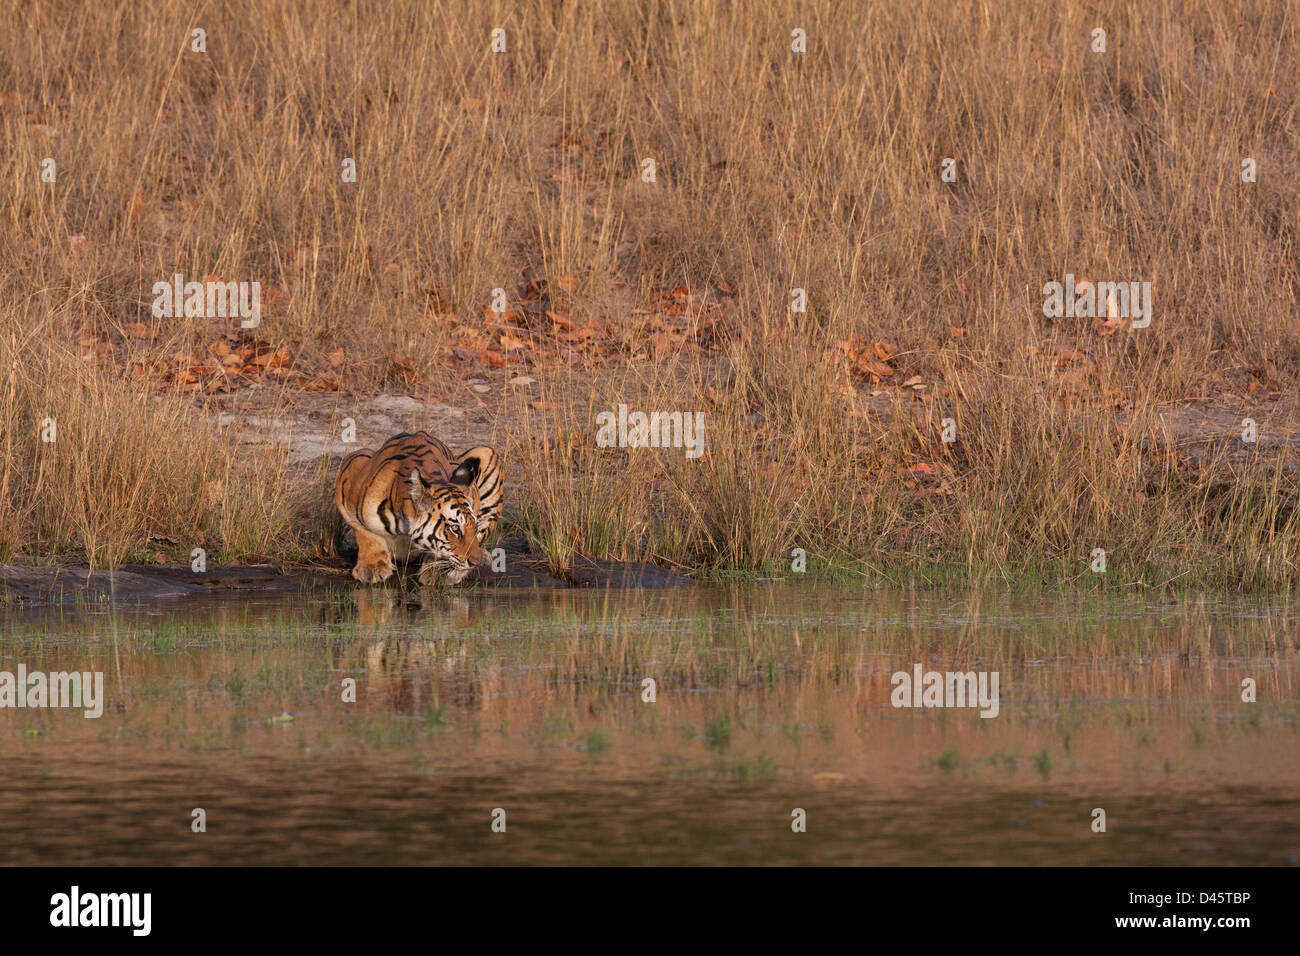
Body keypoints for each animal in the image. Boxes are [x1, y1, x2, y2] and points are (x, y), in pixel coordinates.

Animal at [335, 431, 503, 586]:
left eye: (474, 527)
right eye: (455, 528)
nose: (474, 562)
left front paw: (439, 573)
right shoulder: (351, 467)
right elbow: (364, 532)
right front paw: (372, 568)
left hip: (487, 451)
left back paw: (484, 556)